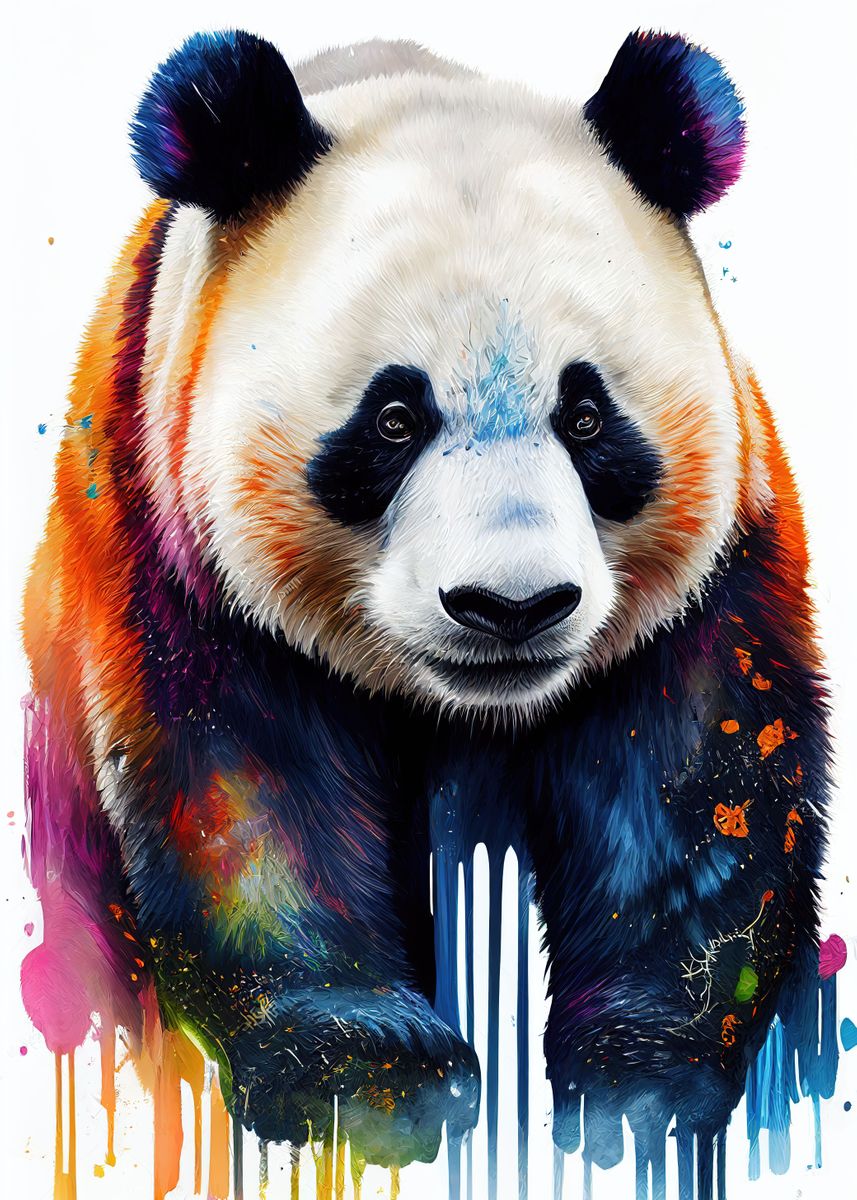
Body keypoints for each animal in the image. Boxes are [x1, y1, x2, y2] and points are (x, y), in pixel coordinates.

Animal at [22, 26, 830, 1194]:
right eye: (394, 418)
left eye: (587, 417)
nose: (512, 606)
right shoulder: (168, 542)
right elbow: (241, 795)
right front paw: (368, 1081)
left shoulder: (708, 570)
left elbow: (690, 783)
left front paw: (633, 1083)